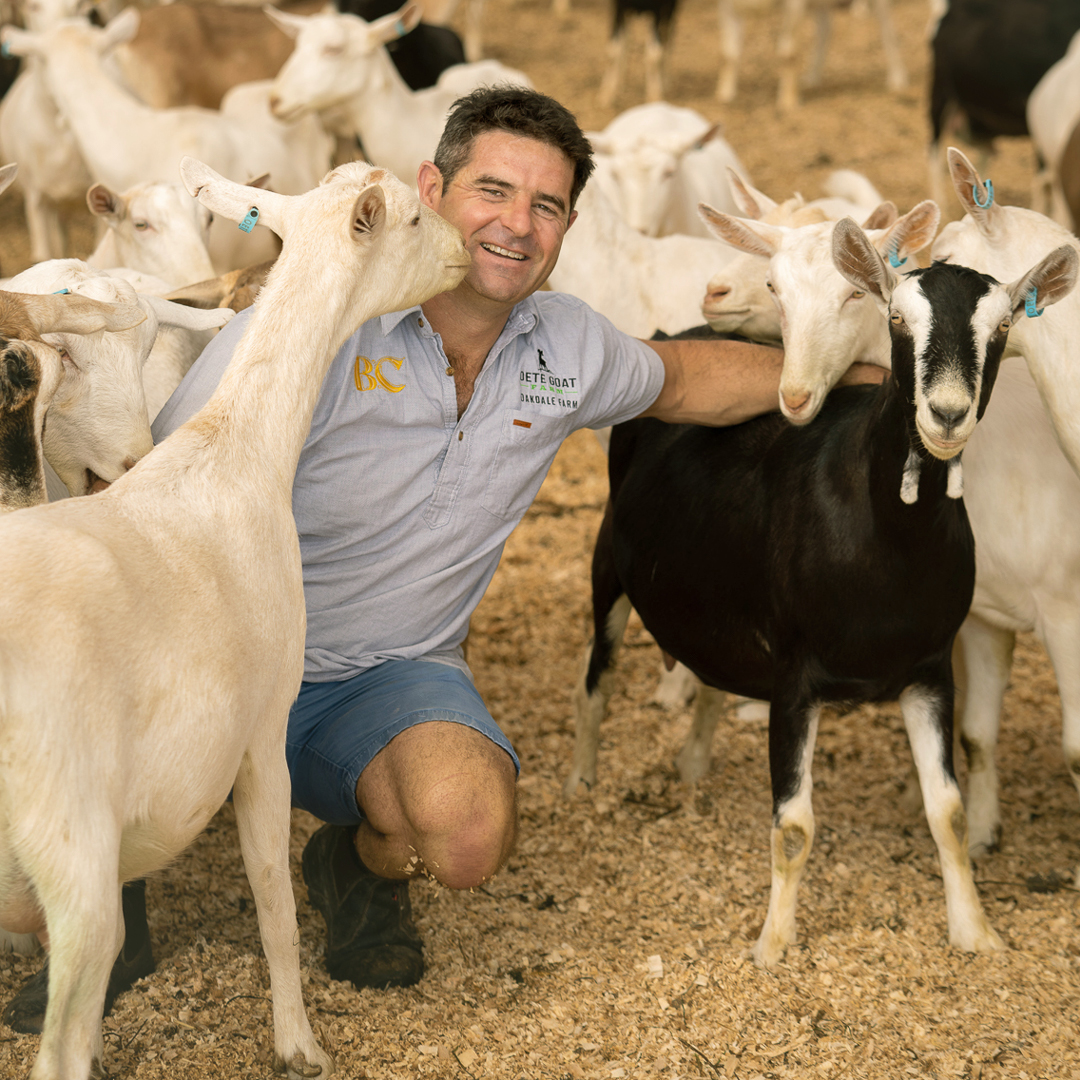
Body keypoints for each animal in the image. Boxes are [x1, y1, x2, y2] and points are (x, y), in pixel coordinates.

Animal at [0, 155, 468, 1080]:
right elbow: (273, 899)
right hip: (67, 852)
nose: (468, 249)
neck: (235, 453)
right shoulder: (261, 733)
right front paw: (298, 1040)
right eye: (409, 218)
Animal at [567, 220, 1075, 967]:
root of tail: (676, 334)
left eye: (1004, 326)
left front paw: (975, 931)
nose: (947, 414)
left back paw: (692, 762)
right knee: (597, 680)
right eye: (897, 319)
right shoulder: (795, 679)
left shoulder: (928, 673)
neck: (886, 538)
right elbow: (794, 825)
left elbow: (948, 814)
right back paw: (583, 782)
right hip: (608, 566)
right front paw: (773, 945)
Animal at [716, 0, 908, 112]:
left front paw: (788, 103)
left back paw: (897, 81)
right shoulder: (727, 6)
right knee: (826, 29)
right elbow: (728, 54)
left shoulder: (794, 5)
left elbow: (789, 52)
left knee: (888, 31)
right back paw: (812, 78)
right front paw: (725, 95)